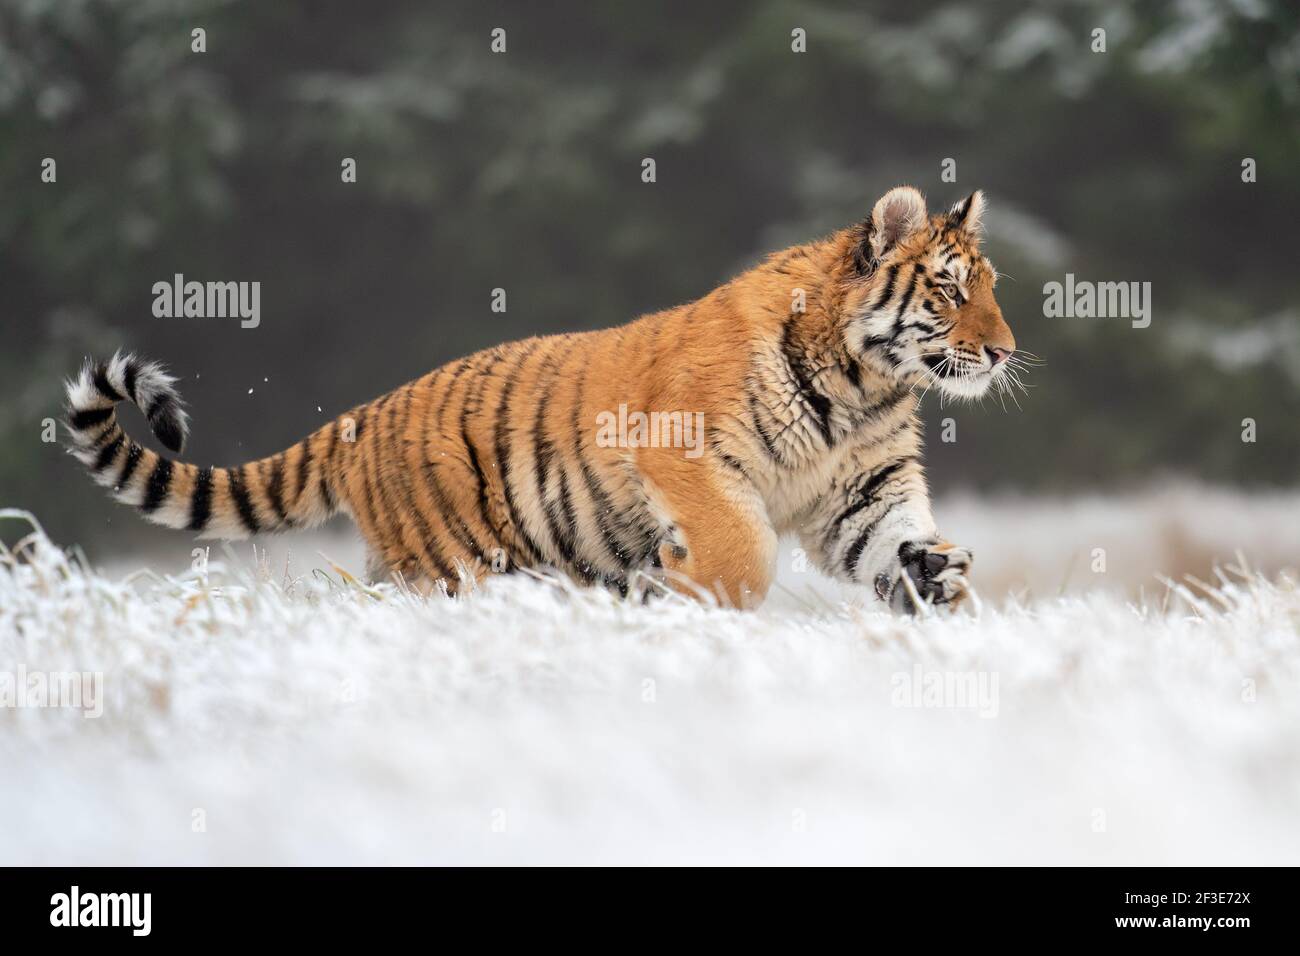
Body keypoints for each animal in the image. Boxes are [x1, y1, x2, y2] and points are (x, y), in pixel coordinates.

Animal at [64, 185, 1016, 611]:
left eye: (992, 288)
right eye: (950, 289)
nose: (1006, 350)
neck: (865, 385)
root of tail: (364, 415)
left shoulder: (862, 490)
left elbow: (891, 537)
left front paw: (936, 576)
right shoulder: (684, 453)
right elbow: (740, 549)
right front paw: (684, 596)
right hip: (455, 560)